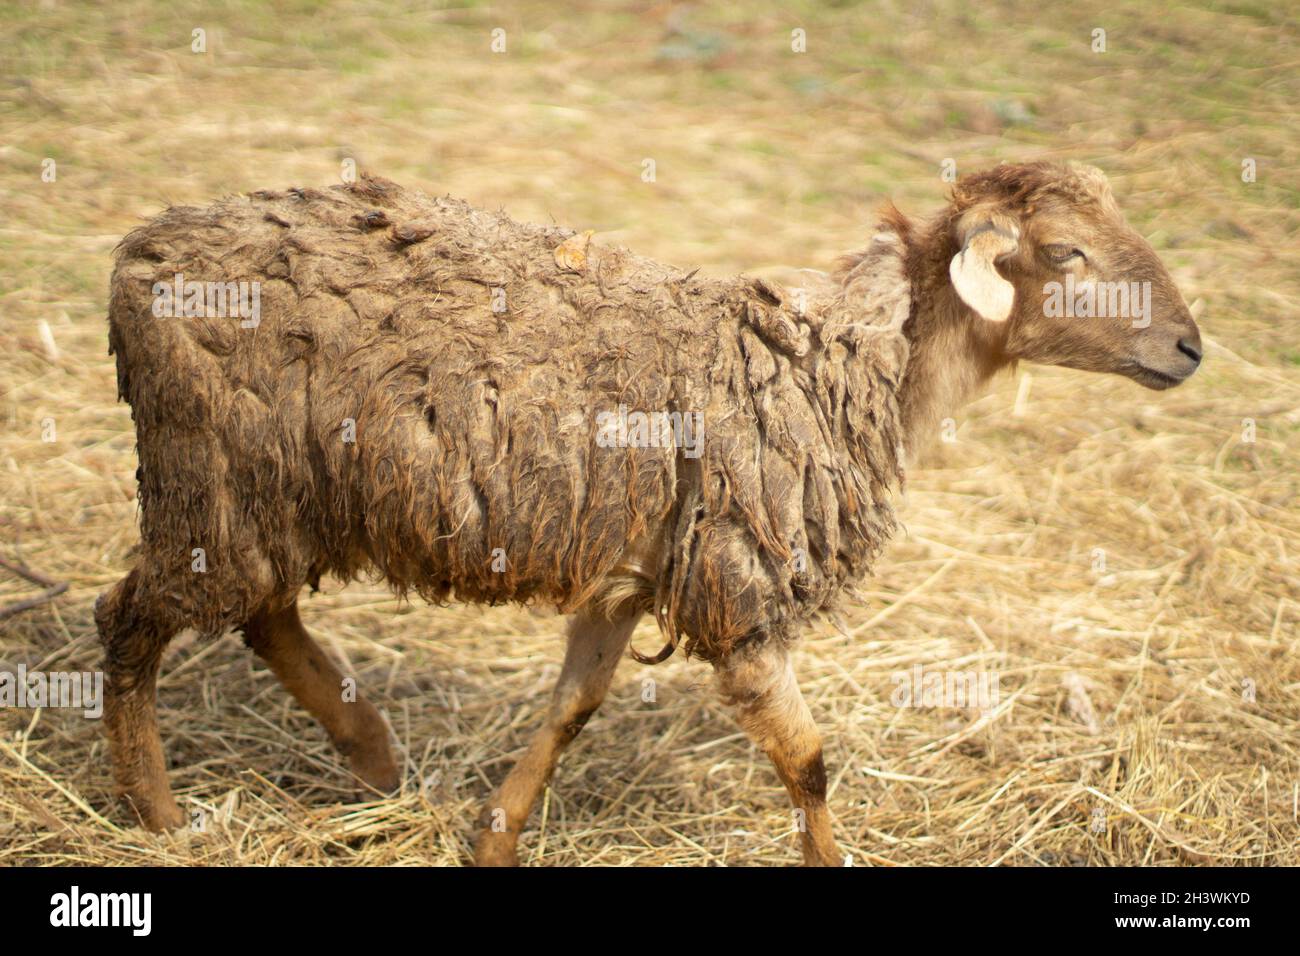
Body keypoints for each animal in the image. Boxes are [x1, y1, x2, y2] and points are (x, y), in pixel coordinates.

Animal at [96, 162, 1201, 865]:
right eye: (1065, 252)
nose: (1191, 347)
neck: (853, 367)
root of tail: (138, 253)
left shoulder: (632, 572)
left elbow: (573, 704)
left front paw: (494, 834)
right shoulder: (738, 583)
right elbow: (807, 761)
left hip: (262, 491)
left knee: (262, 611)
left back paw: (367, 750)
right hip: (210, 475)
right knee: (135, 621)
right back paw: (158, 812)